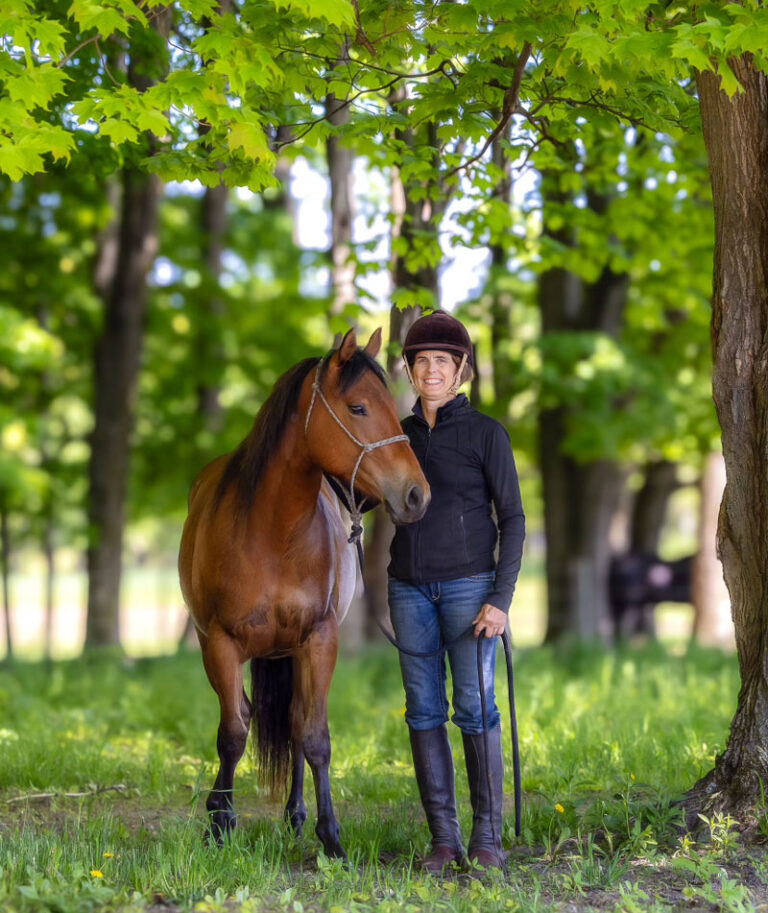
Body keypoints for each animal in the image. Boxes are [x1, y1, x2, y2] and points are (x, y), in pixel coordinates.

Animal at [178, 328, 429, 858]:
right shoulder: (220, 643)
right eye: (358, 408)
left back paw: (295, 815)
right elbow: (232, 733)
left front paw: (330, 837)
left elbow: (314, 736)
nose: (417, 495)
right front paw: (219, 822)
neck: (272, 533)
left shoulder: (318, 640)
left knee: (295, 723)